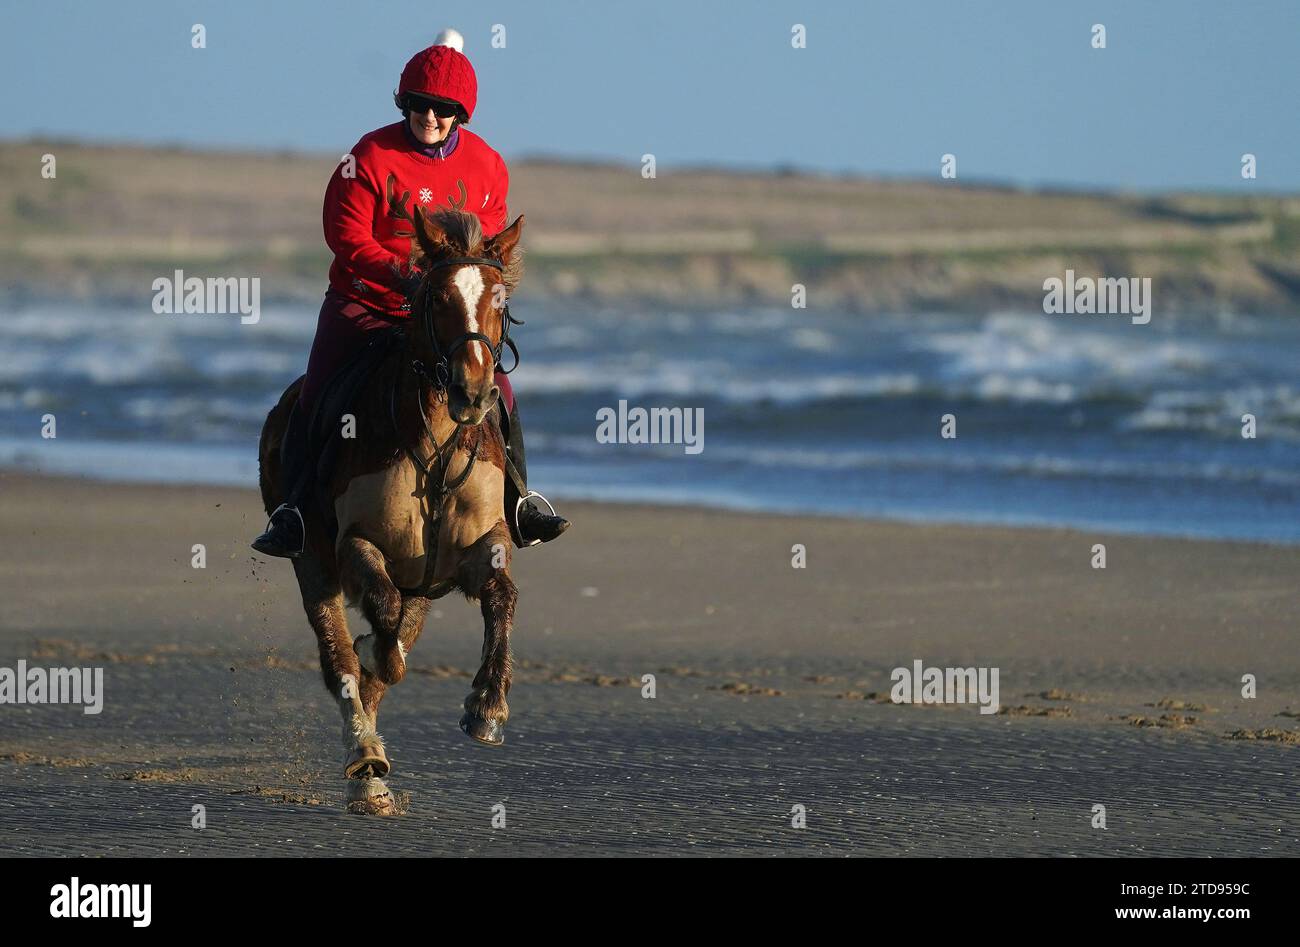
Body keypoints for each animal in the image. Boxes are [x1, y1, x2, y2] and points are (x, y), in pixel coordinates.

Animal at [257, 206, 525, 815]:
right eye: (438, 297)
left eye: (498, 298)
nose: (475, 391)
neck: (439, 441)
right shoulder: (354, 544)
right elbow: (375, 625)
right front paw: (374, 655)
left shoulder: (478, 546)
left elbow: (502, 596)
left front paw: (486, 708)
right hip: (311, 562)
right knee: (340, 660)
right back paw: (364, 760)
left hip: (423, 587)